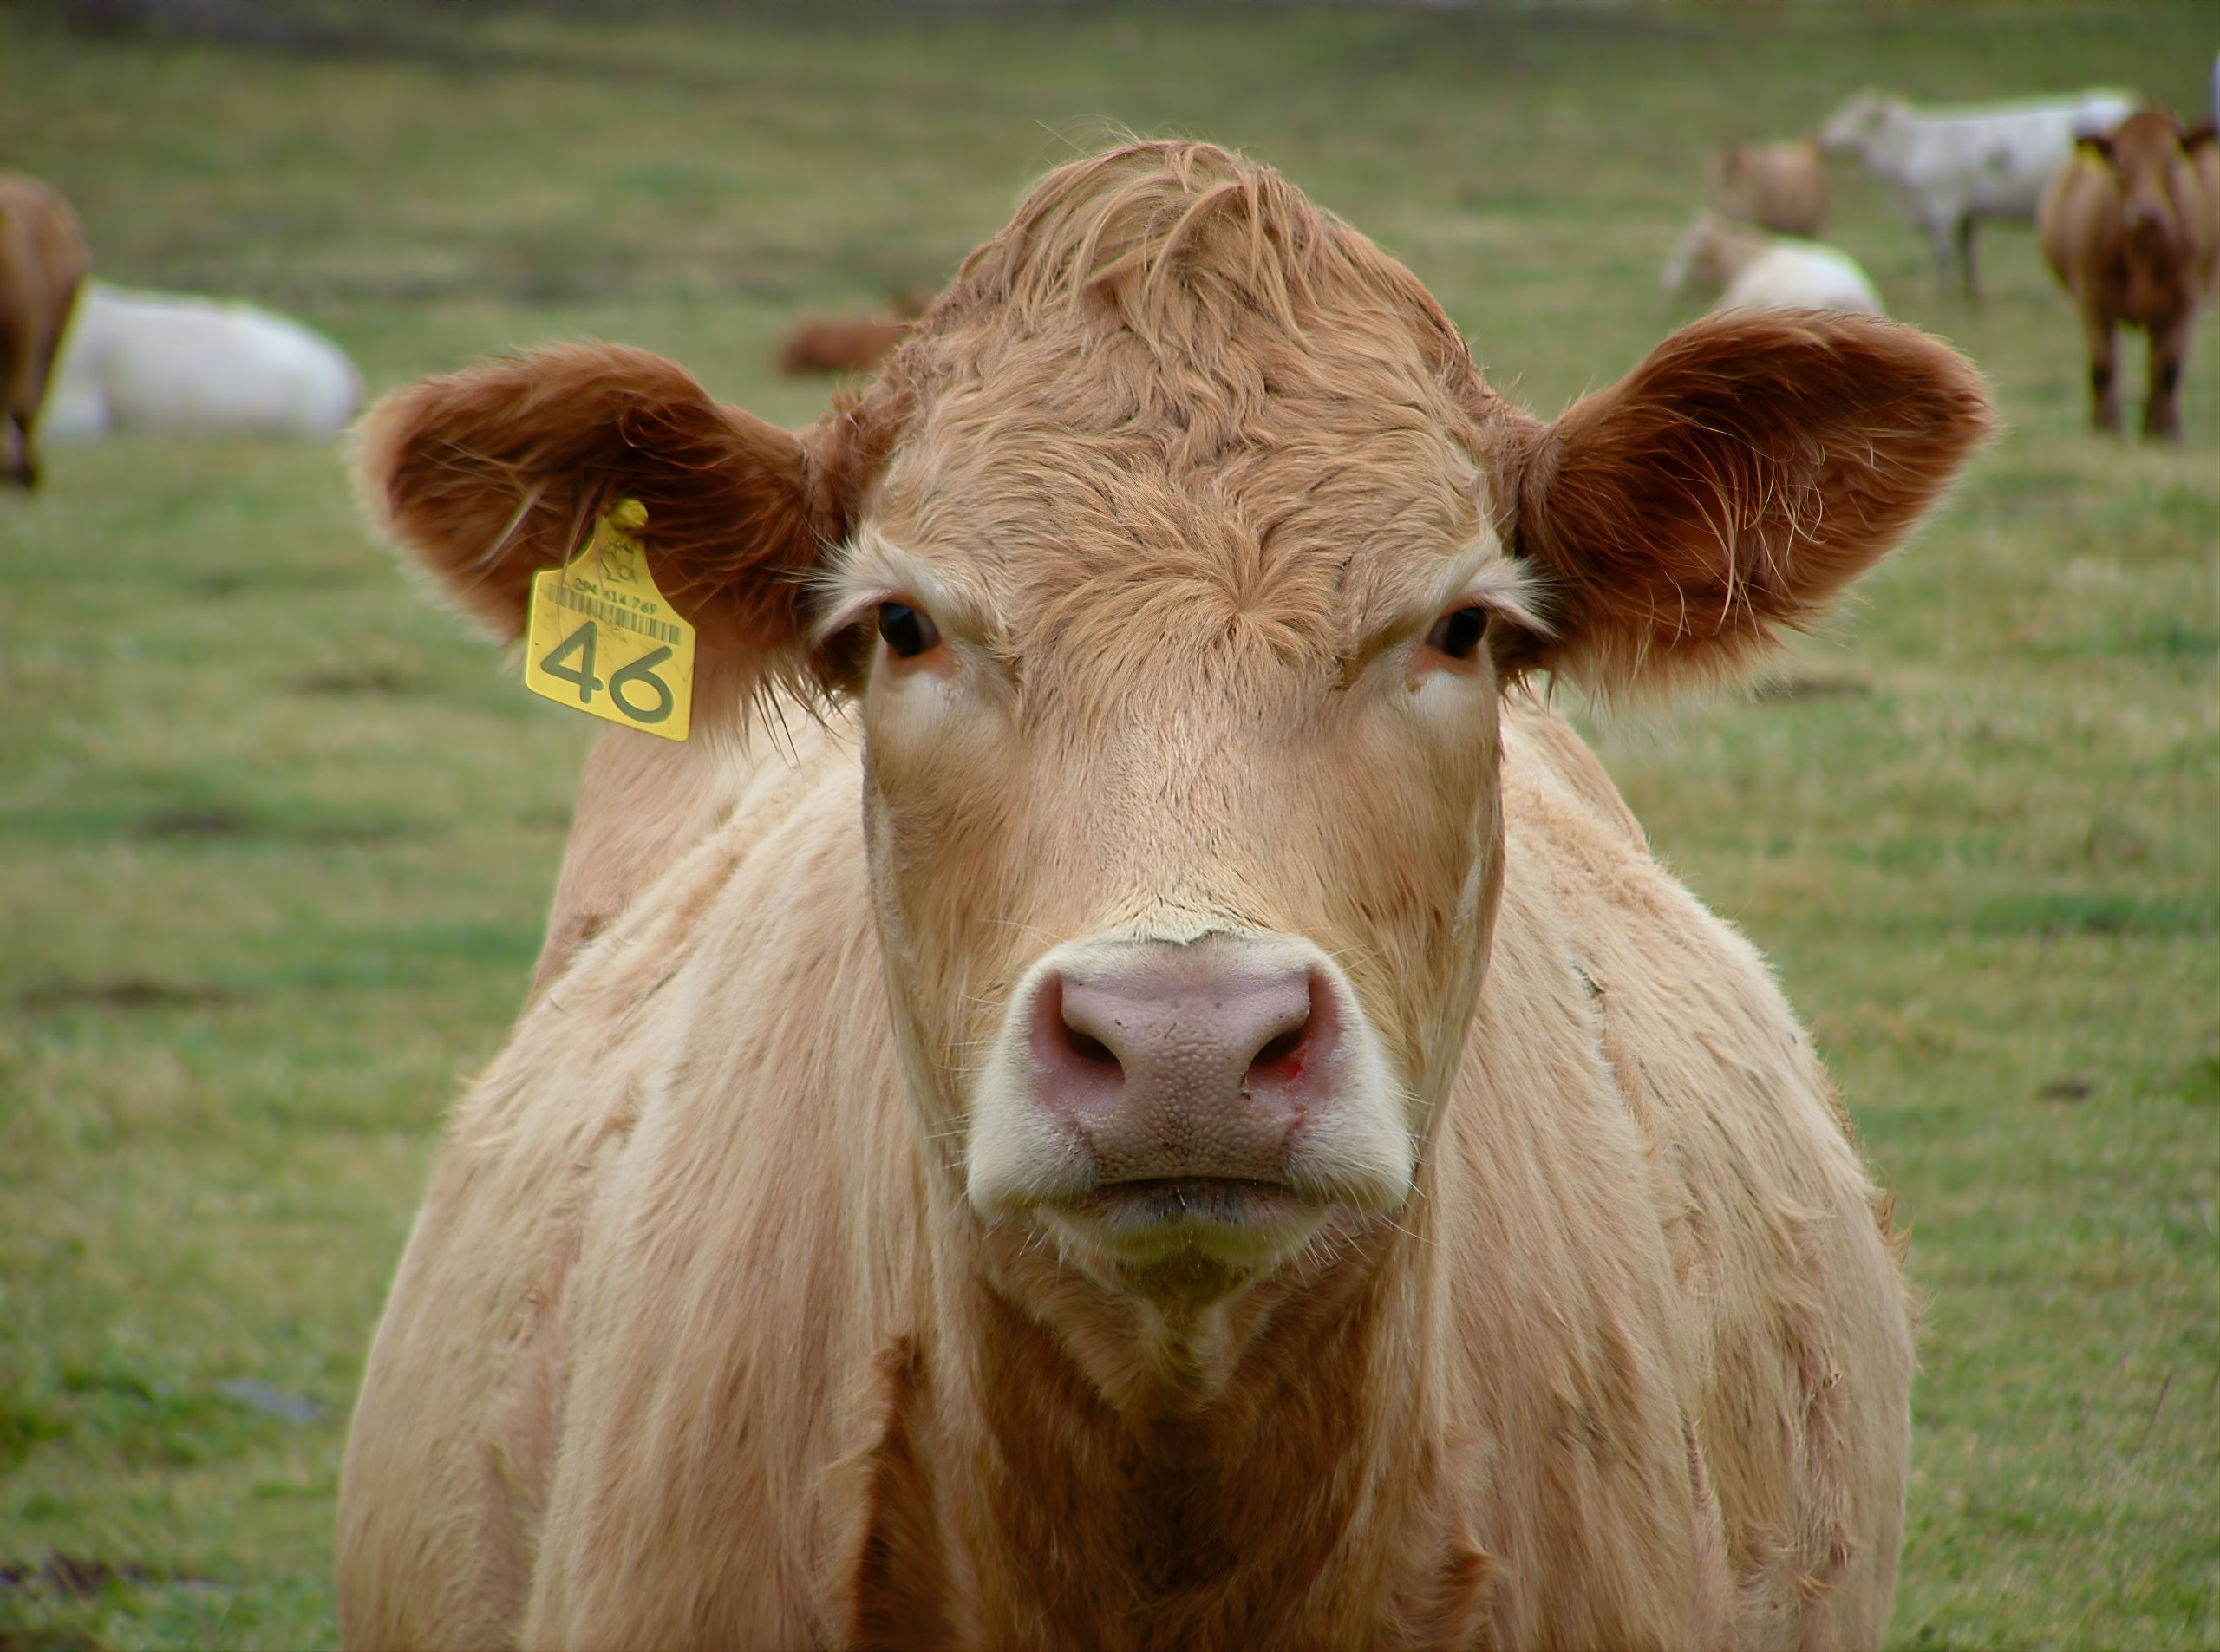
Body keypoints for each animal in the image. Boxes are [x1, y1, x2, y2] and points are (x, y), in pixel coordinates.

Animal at [2038, 108, 2220, 440]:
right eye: (2121, 164)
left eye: (2172, 162)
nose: (2148, 214)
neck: (2141, 253)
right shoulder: (2092, 299)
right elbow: (2103, 366)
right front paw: (2106, 429)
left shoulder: (2184, 302)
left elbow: (2169, 367)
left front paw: (2164, 433)